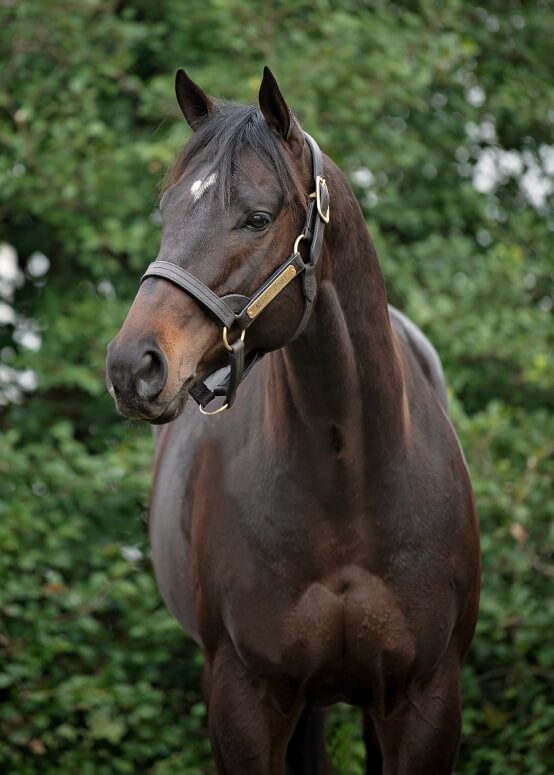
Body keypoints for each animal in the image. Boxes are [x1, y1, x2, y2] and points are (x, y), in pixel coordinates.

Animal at [106, 67, 480, 774]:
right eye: (167, 213)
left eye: (256, 217)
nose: (132, 365)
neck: (346, 476)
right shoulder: (244, 698)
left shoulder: (427, 698)